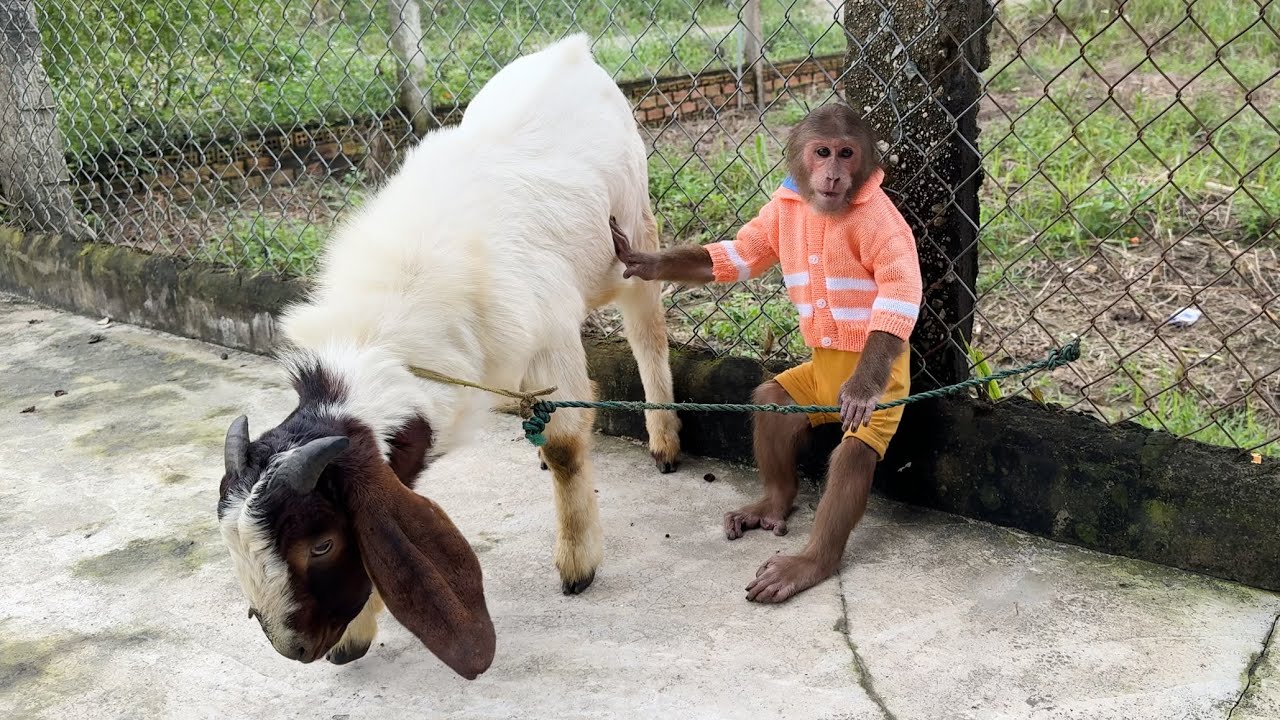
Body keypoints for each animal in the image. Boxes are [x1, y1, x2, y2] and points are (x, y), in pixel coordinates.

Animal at [216, 34, 682, 679]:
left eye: (322, 543)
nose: (297, 649)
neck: (381, 338)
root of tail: (570, 49)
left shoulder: (549, 338)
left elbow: (566, 443)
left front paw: (577, 565)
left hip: (633, 234)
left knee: (647, 331)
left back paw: (664, 441)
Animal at [612, 104, 922, 604]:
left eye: (847, 153)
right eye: (822, 152)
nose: (833, 173)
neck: (827, 210)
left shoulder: (885, 222)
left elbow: (898, 293)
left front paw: (859, 387)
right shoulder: (780, 212)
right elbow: (741, 254)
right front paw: (646, 262)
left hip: (889, 393)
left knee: (856, 451)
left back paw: (813, 562)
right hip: (809, 386)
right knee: (774, 403)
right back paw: (775, 504)